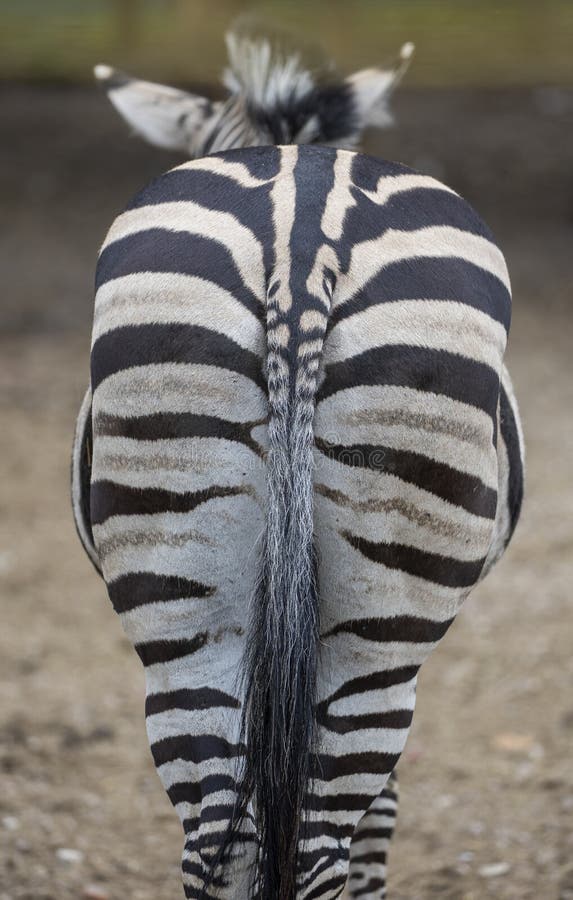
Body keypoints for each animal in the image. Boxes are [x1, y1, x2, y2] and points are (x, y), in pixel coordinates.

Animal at [71, 30, 524, 900]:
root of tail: (300, 237)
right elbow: (380, 813)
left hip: (182, 601)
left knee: (221, 840)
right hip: (379, 634)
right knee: (320, 846)